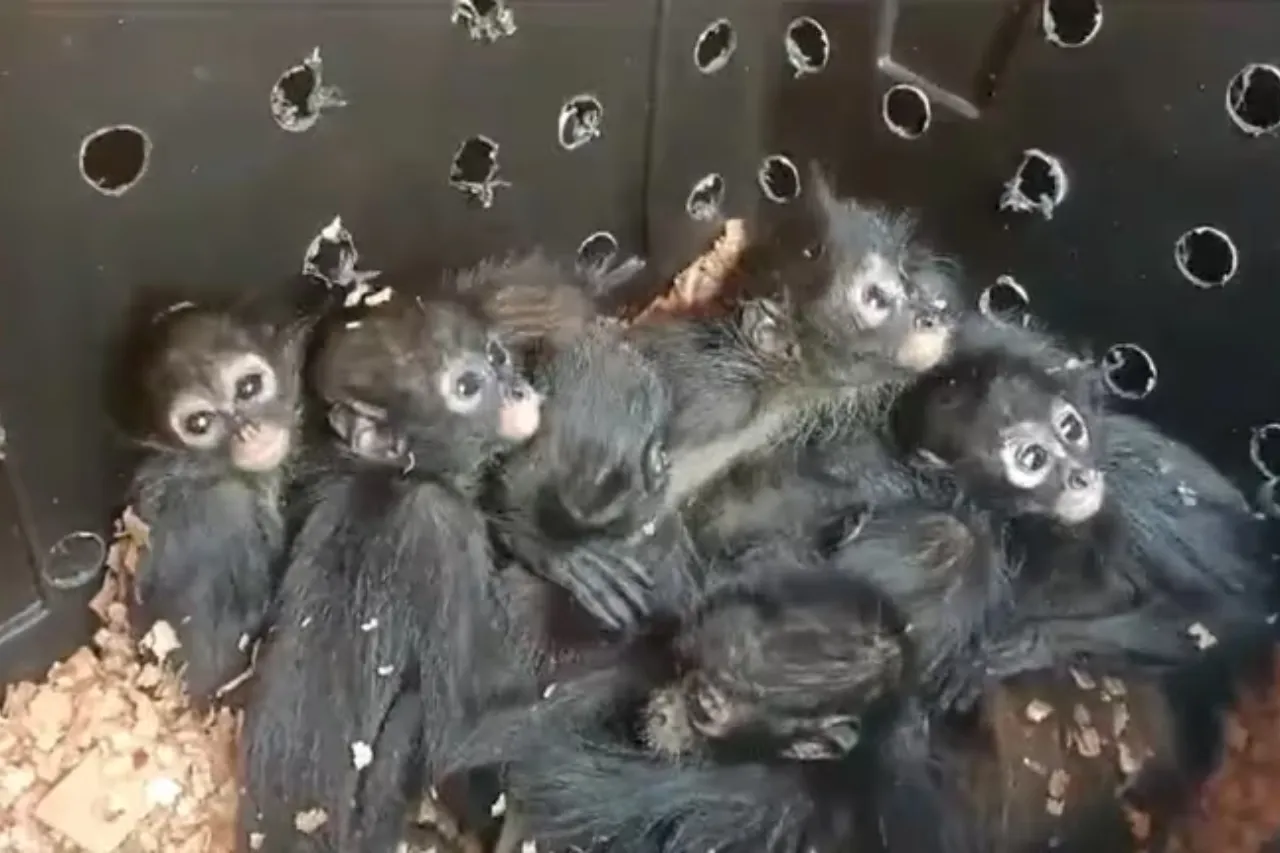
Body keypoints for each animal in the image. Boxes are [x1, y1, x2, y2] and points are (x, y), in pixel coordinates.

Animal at [237, 291, 543, 853]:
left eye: (496, 355)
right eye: (468, 387)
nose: (516, 390)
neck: (393, 477)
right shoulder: (443, 527)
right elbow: (463, 731)